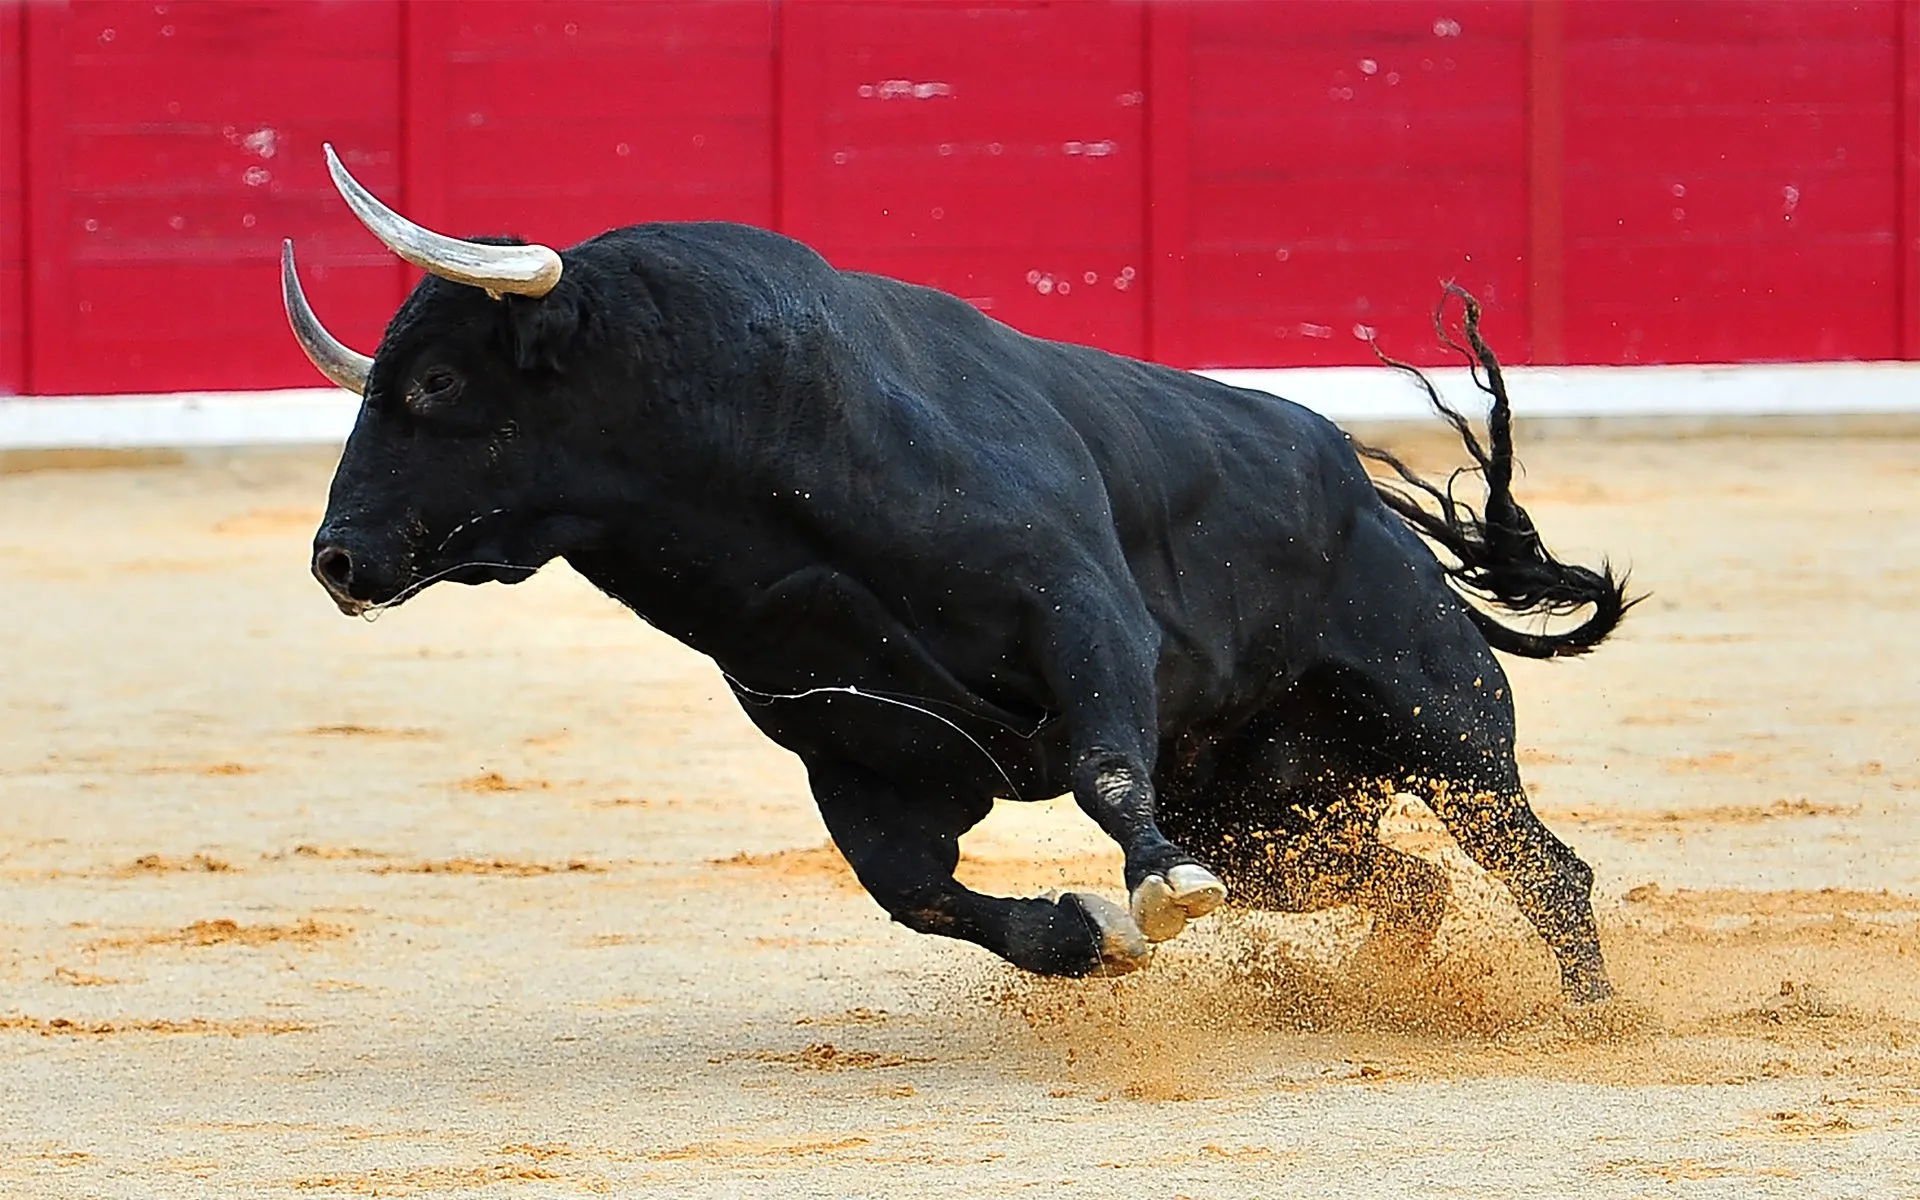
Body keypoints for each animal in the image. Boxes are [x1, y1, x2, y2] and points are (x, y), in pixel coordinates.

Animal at [286, 145, 1631, 1002]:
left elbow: (1101, 771)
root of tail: (1358, 486)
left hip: (1437, 717)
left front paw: (1152, 893)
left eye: (438, 381)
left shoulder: (1084, 619)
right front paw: (1088, 936)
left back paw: (1587, 1015)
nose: (338, 558)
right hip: (1260, 814)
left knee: (1541, 864)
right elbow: (918, 895)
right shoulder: (853, 755)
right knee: (1407, 887)